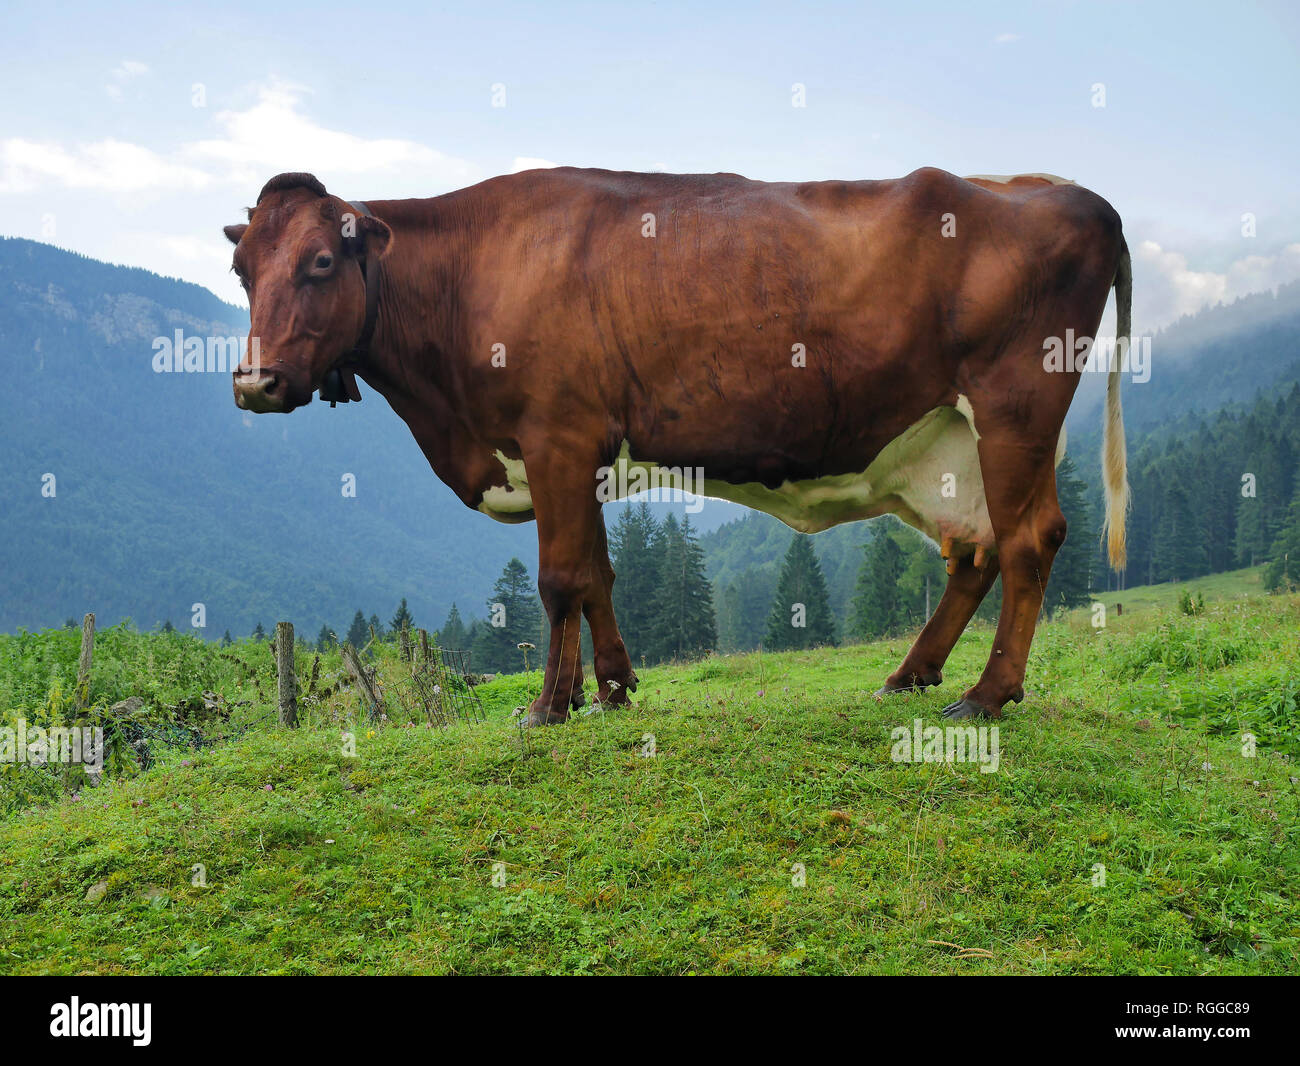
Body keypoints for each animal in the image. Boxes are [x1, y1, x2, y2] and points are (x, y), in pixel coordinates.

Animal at [225, 166, 1130, 727]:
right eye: (242, 269)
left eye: (318, 261)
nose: (254, 383)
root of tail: (1071, 192)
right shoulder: (580, 451)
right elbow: (596, 575)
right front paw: (611, 691)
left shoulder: (555, 435)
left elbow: (559, 581)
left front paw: (547, 709)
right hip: (948, 443)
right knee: (975, 551)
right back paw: (910, 675)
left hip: (1015, 407)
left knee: (1027, 540)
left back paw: (987, 693)